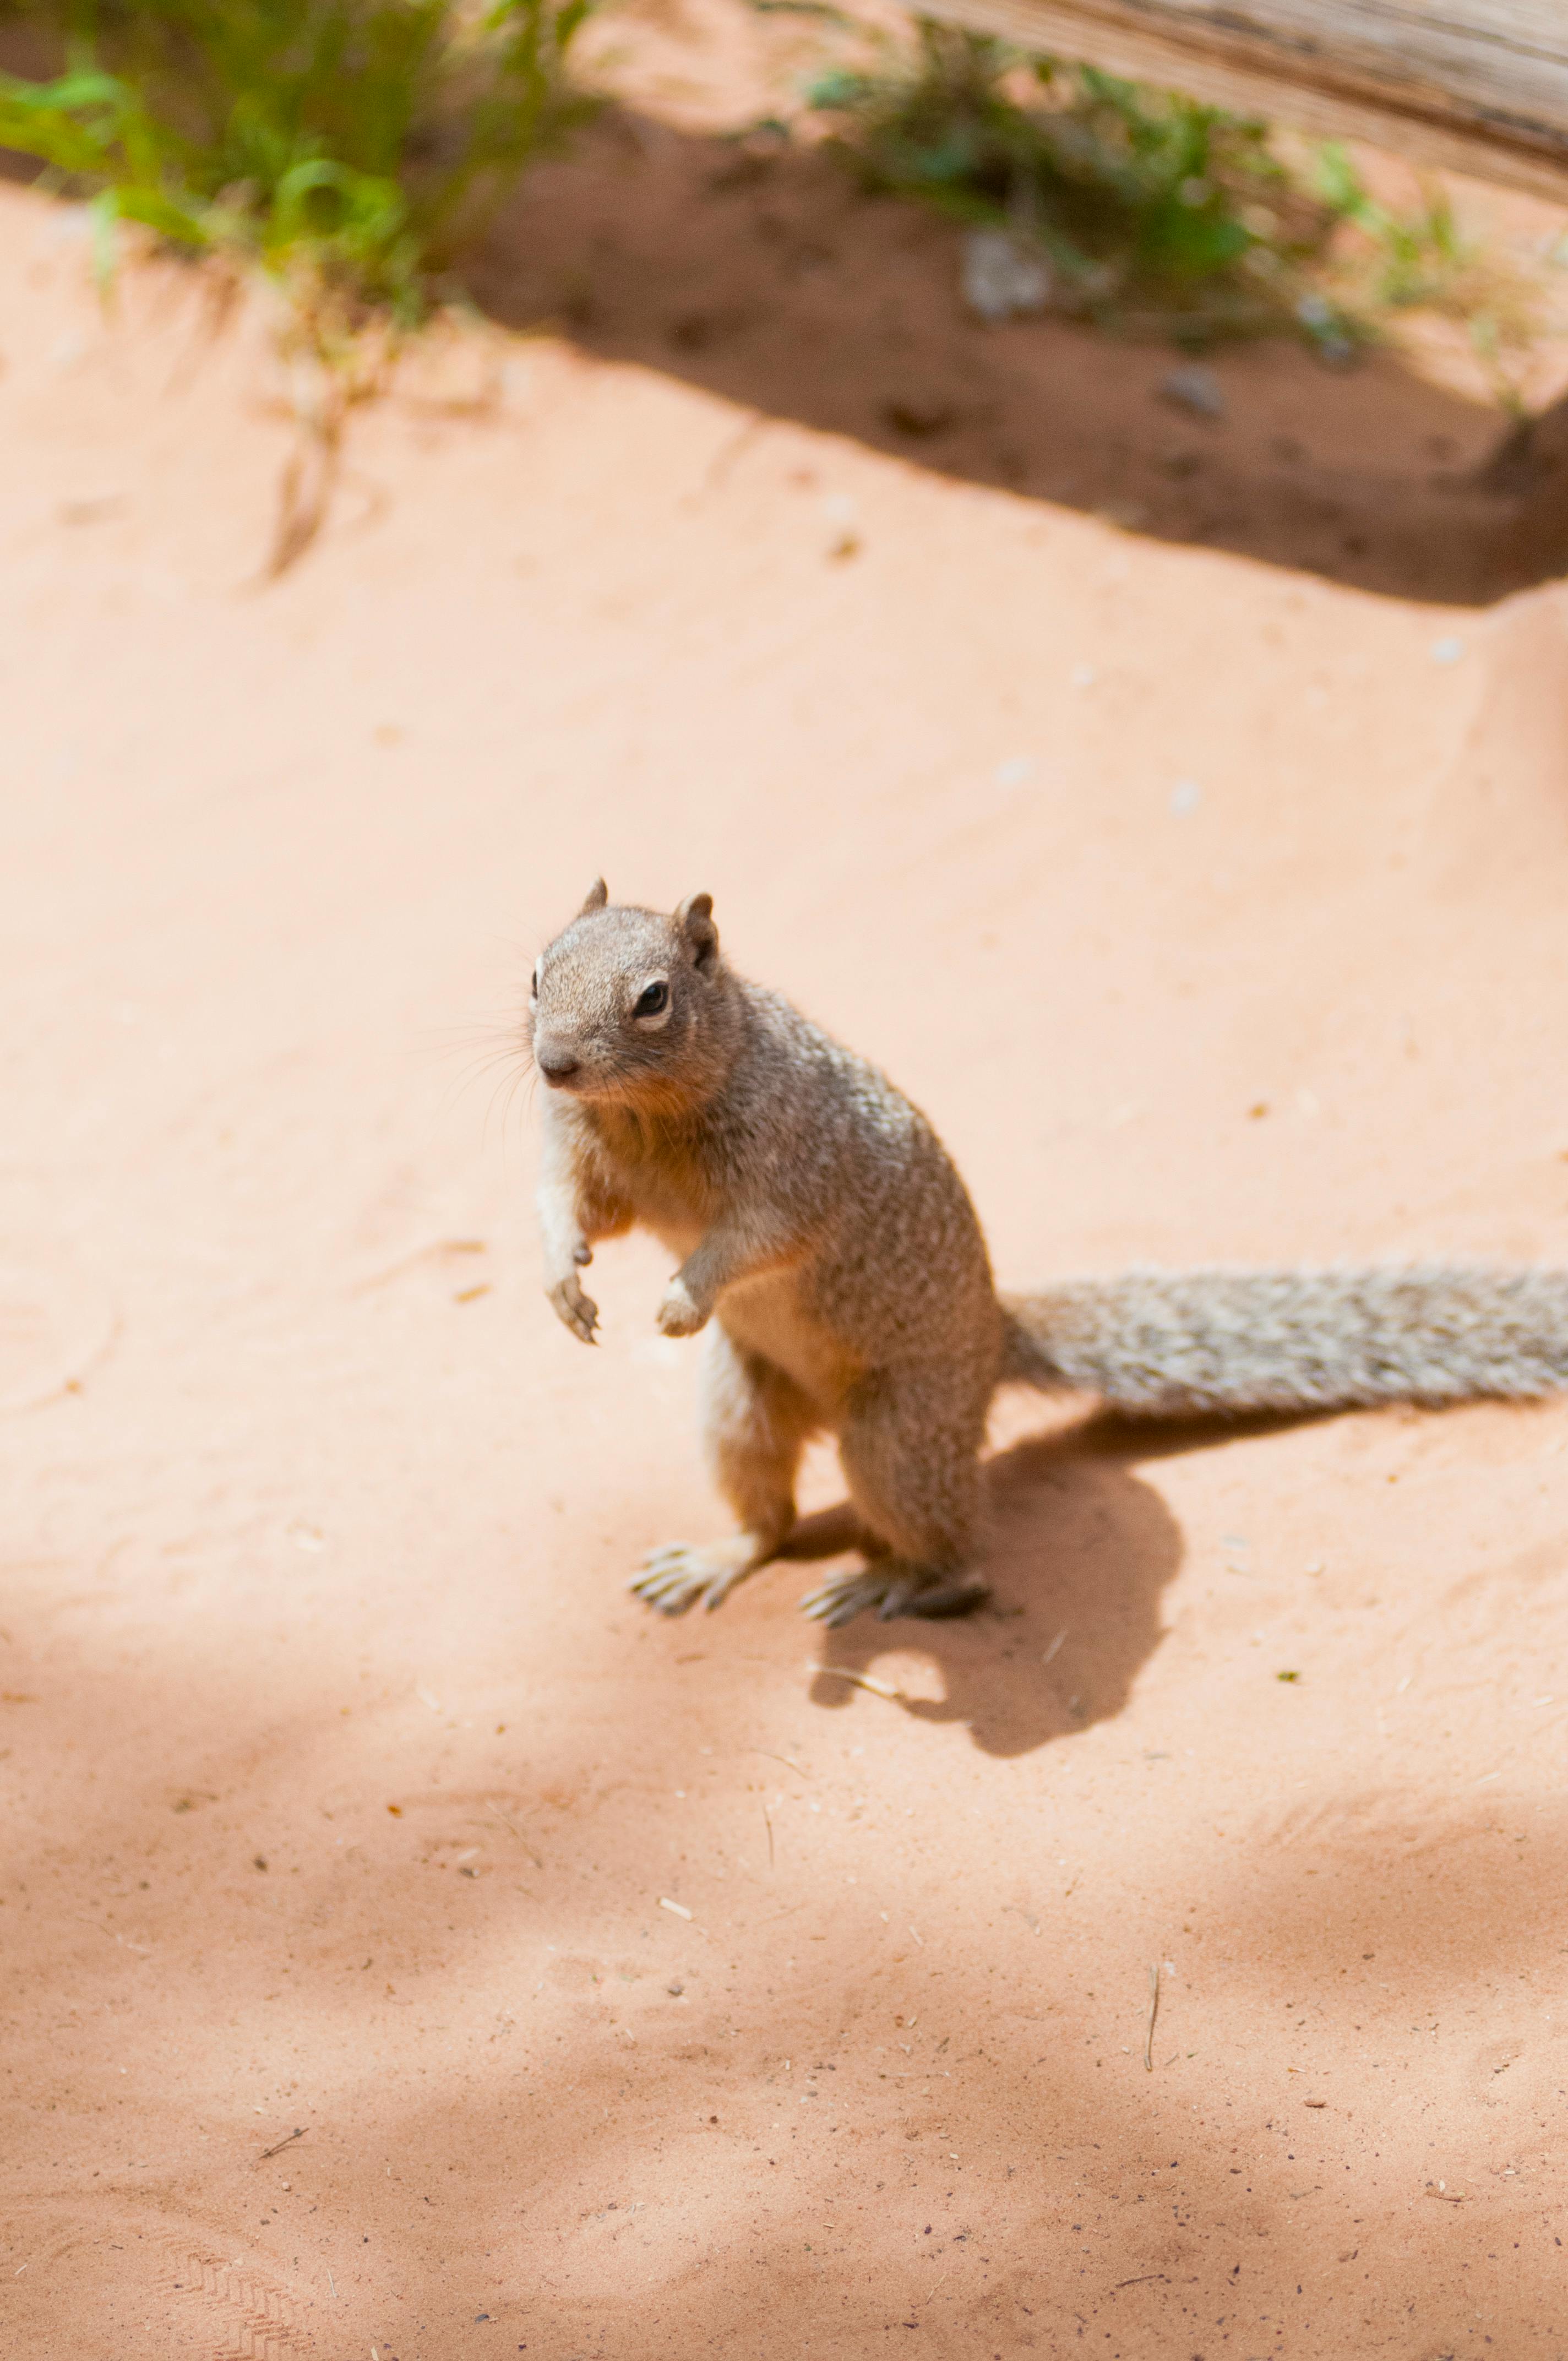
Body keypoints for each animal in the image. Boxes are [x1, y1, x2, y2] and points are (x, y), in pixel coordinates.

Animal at [530, 880, 1568, 1629]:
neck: (646, 1113)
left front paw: (680, 1297)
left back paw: (898, 1584)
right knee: (768, 1514)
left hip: (899, 1436)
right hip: (740, 1405)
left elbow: (756, 1239)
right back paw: (717, 1557)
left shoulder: (790, 1163)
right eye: (537, 972)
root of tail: (996, 1341)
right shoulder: (588, 1157)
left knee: (958, 1555)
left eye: (654, 999)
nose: (551, 1065)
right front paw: (560, 1284)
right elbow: (566, 1206)